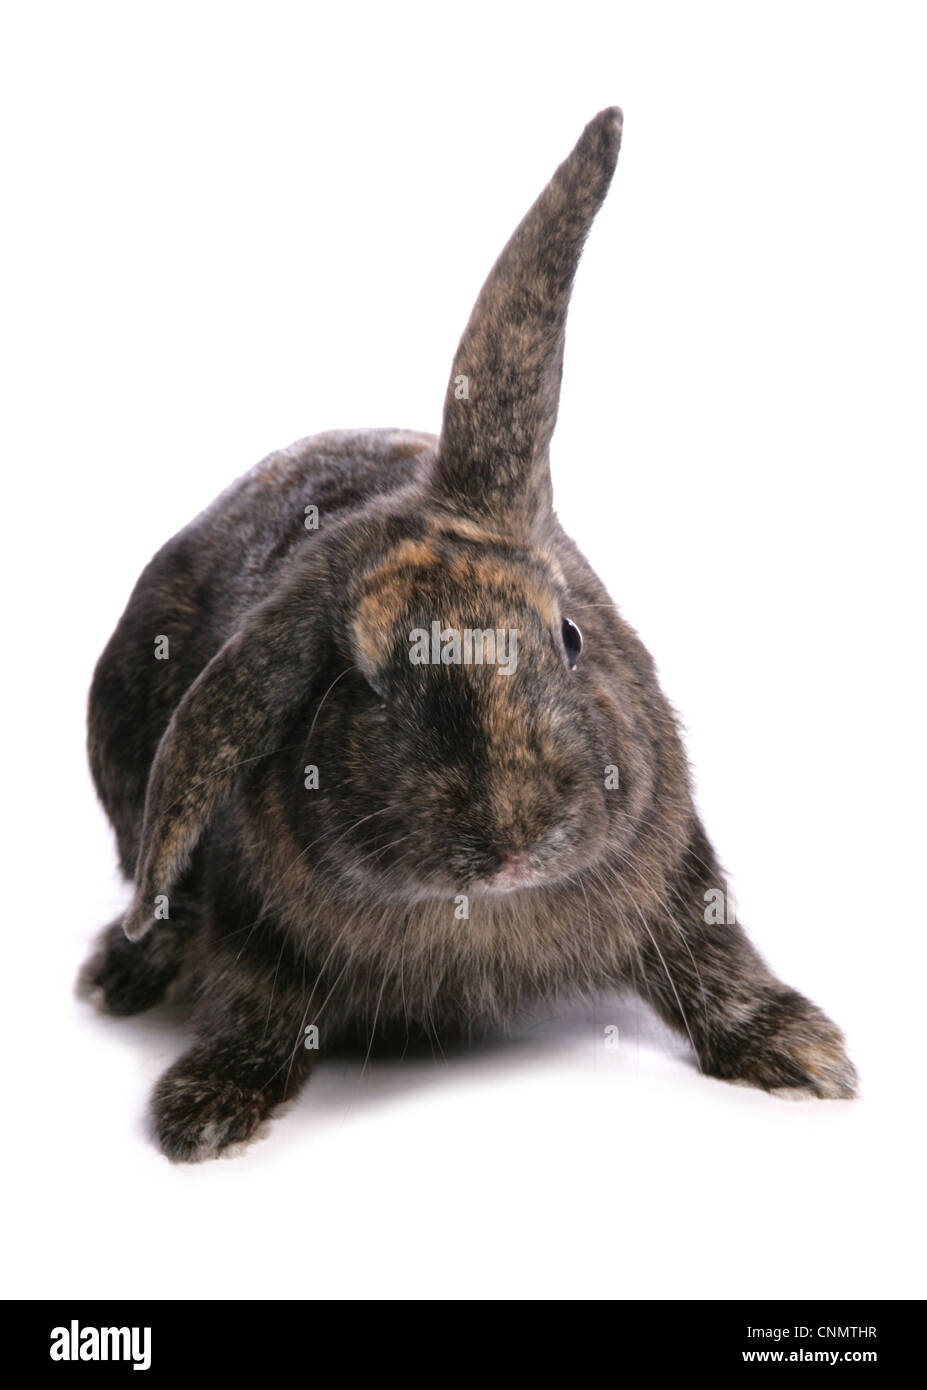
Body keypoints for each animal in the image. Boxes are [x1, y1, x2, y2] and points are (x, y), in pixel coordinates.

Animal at [78, 107, 856, 1161]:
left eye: (569, 635)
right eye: (361, 681)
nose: (516, 836)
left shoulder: (679, 884)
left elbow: (715, 965)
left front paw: (804, 1055)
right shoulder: (250, 936)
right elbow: (258, 1013)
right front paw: (201, 1113)